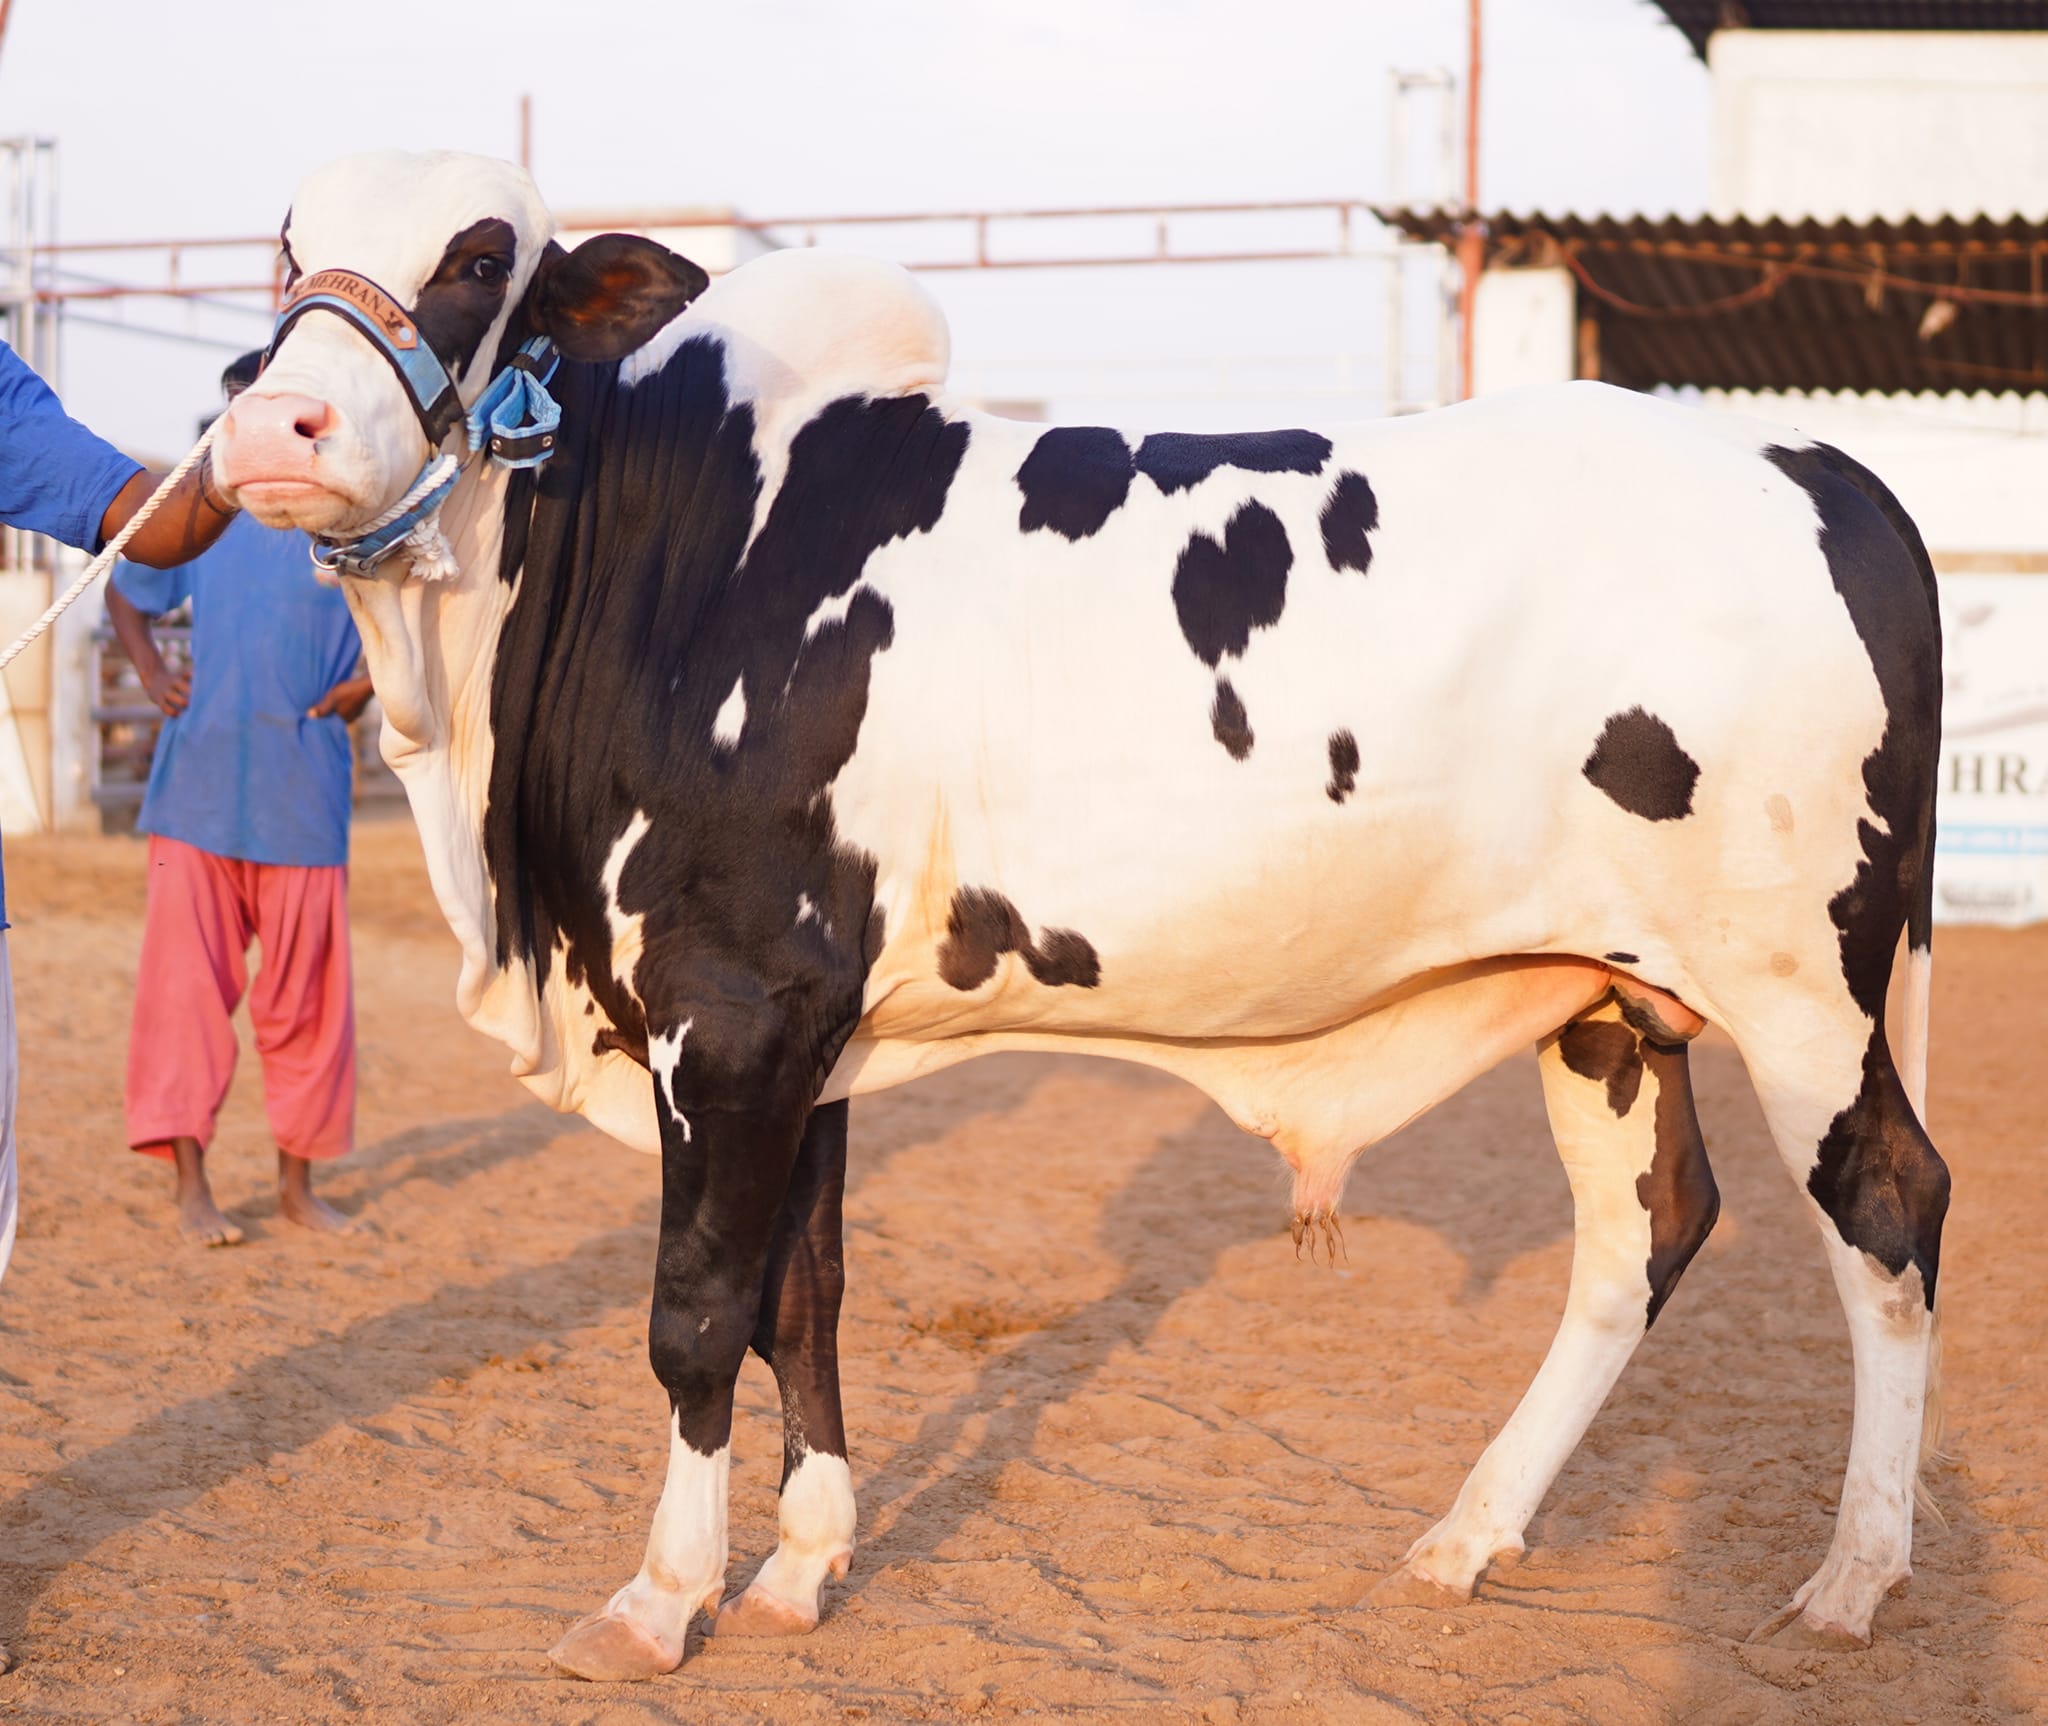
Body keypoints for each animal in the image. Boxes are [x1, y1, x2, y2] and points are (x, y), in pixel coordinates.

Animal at [211, 150, 1948, 1682]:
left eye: (480, 257)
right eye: (287, 250)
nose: (275, 419)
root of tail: (1816, 466)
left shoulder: (733, 1008)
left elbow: (699, 1312)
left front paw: (658, 1600)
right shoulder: (816, 1030)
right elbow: (802, 1294)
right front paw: (802, 1563)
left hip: (1801, 989)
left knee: (1889, 1204)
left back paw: (1852, 1582)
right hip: (1602, 992)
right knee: (1639, 1230)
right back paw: (1468, 1532)